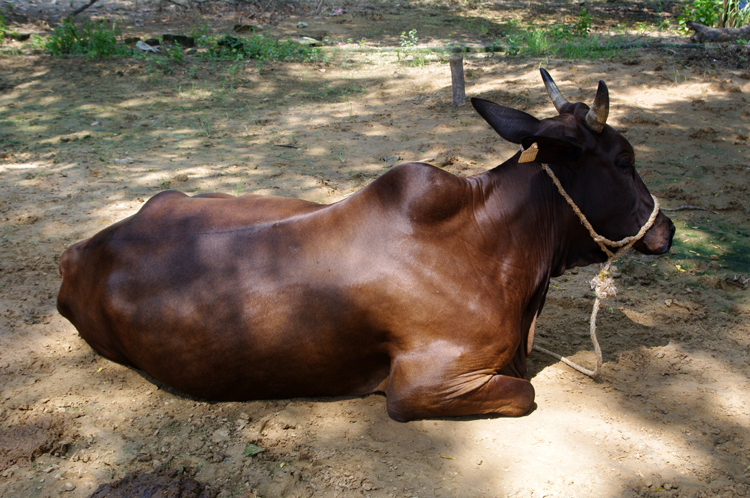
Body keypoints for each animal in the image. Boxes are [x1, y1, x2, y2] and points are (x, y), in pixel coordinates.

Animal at [57, 69, 675, 422]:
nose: (667, 230)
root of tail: (76, 254)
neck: (499, 250)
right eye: (624, 161)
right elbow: (525, 394)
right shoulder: (424, 386)